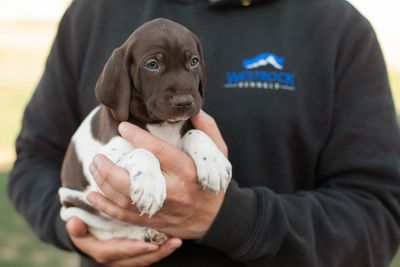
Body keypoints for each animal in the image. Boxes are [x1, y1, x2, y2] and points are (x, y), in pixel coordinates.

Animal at [56, 18, 231, 245]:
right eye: (152, 65)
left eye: (194, 61)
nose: (184, 102)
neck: (162, 126)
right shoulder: (100, 160)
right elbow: (142, 151)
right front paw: (150, 185)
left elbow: (195, 133)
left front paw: (213, 162)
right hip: (76, 203)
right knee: (108, 231)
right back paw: (142, 233)